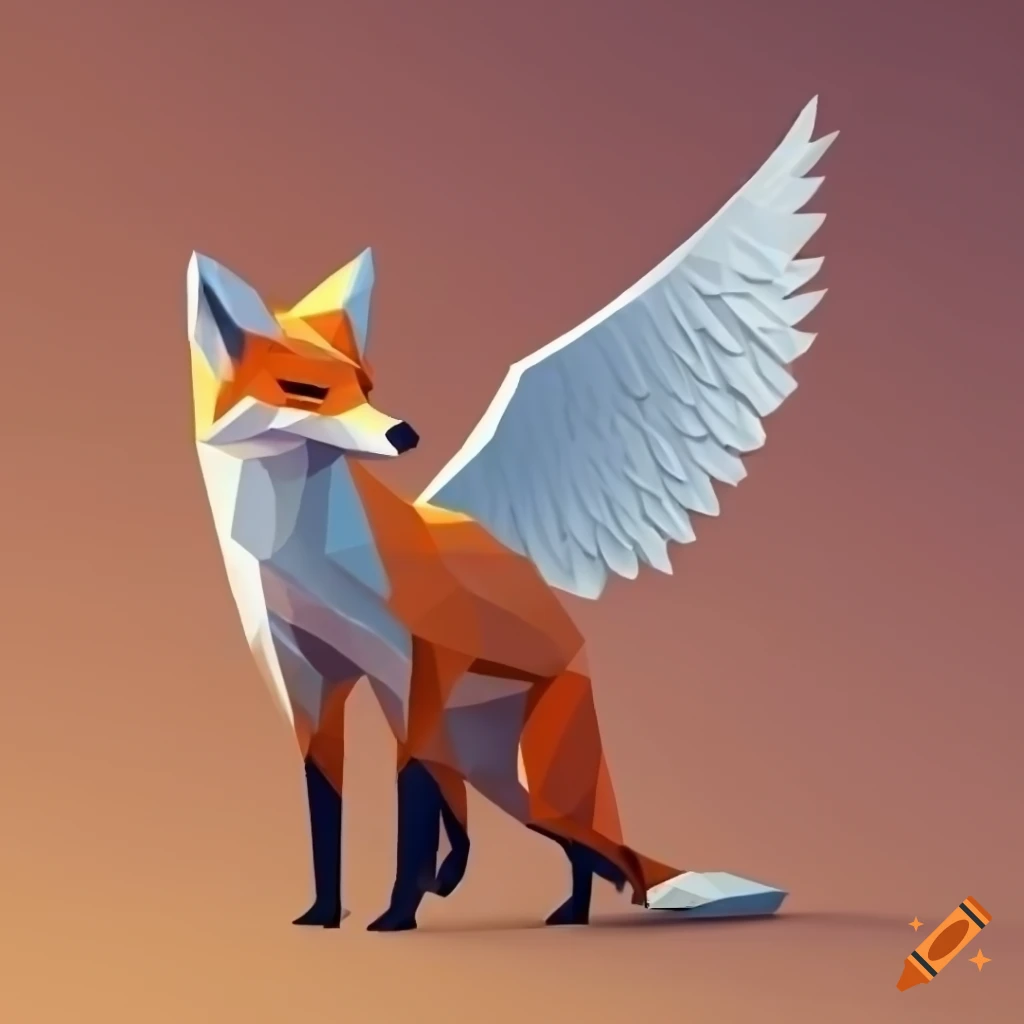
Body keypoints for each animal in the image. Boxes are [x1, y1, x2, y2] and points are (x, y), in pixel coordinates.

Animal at [188, 98, 836, 931]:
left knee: (596, 848)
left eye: (367, 382)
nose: (404, 434)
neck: (301, 554)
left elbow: (409, 821)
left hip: (528, 773)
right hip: (497, 771)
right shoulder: (308, 690)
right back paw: (557, 909)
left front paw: (395, 918)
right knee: (574, 847)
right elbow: (325, 817)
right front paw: (324, 915)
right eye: (307, 390)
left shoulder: (412, 687)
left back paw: (565, 912)